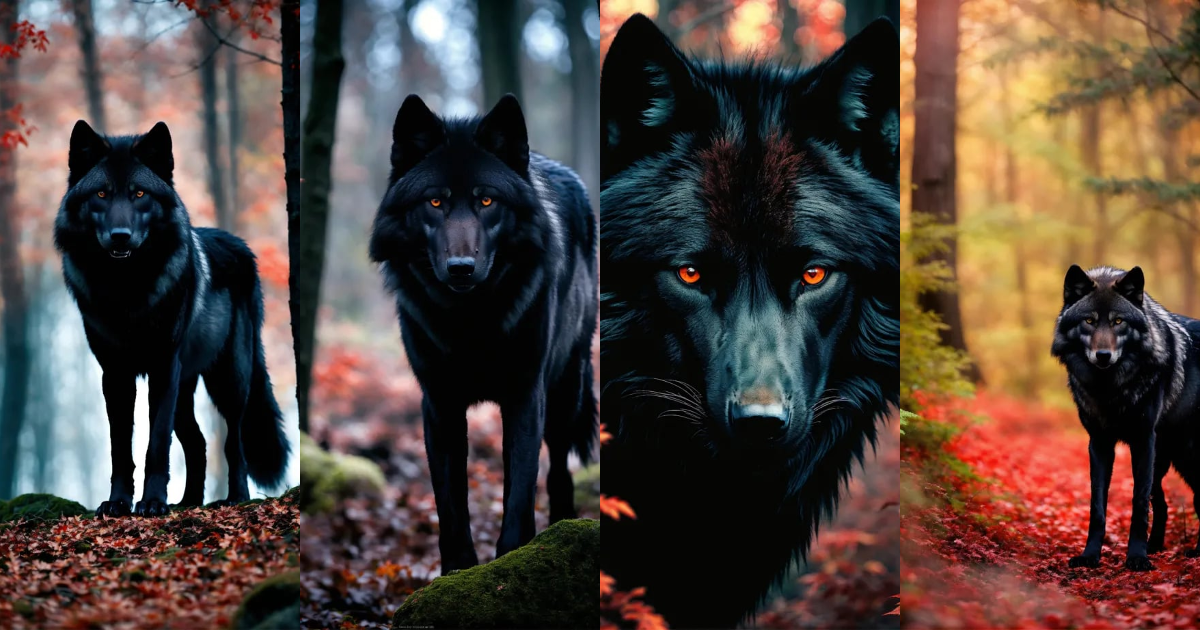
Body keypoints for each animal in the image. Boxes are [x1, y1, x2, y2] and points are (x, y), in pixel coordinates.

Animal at [54, 120, 291, 517]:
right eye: (102, 194)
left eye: (138, 194)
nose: (120, 237)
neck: (126, 291)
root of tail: (241, 245)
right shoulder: (115, 374)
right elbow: (121, 447)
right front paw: (119, 503)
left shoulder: (163, 368)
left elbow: (156, 444)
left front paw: (151, 503)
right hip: (186, 387)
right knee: (198, 443)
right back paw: (189, 502)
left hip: (228, 380)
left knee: (234, 442)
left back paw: (235, 498)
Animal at [368, 94, 598, 570]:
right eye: (436, 203)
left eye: (487, 200)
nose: (461, 268)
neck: (469, 321)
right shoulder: (439, 404)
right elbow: (451, 505)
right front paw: (457, 571)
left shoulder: (526, 396)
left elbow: (520, 494)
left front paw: (511, 561)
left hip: (566, 392)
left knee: (559, 473)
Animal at [1052, 265, 1200, 570]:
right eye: (1089, 321)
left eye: (1118, 321)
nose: (1103, 355)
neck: (1110, 388)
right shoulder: (1099, 444)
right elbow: (1097, 506)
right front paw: (1090, 556)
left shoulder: (1142, 441)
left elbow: (1138, 503)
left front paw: (1137, 558)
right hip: (1168, 461)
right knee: (1164, 504)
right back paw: (1156, 547)